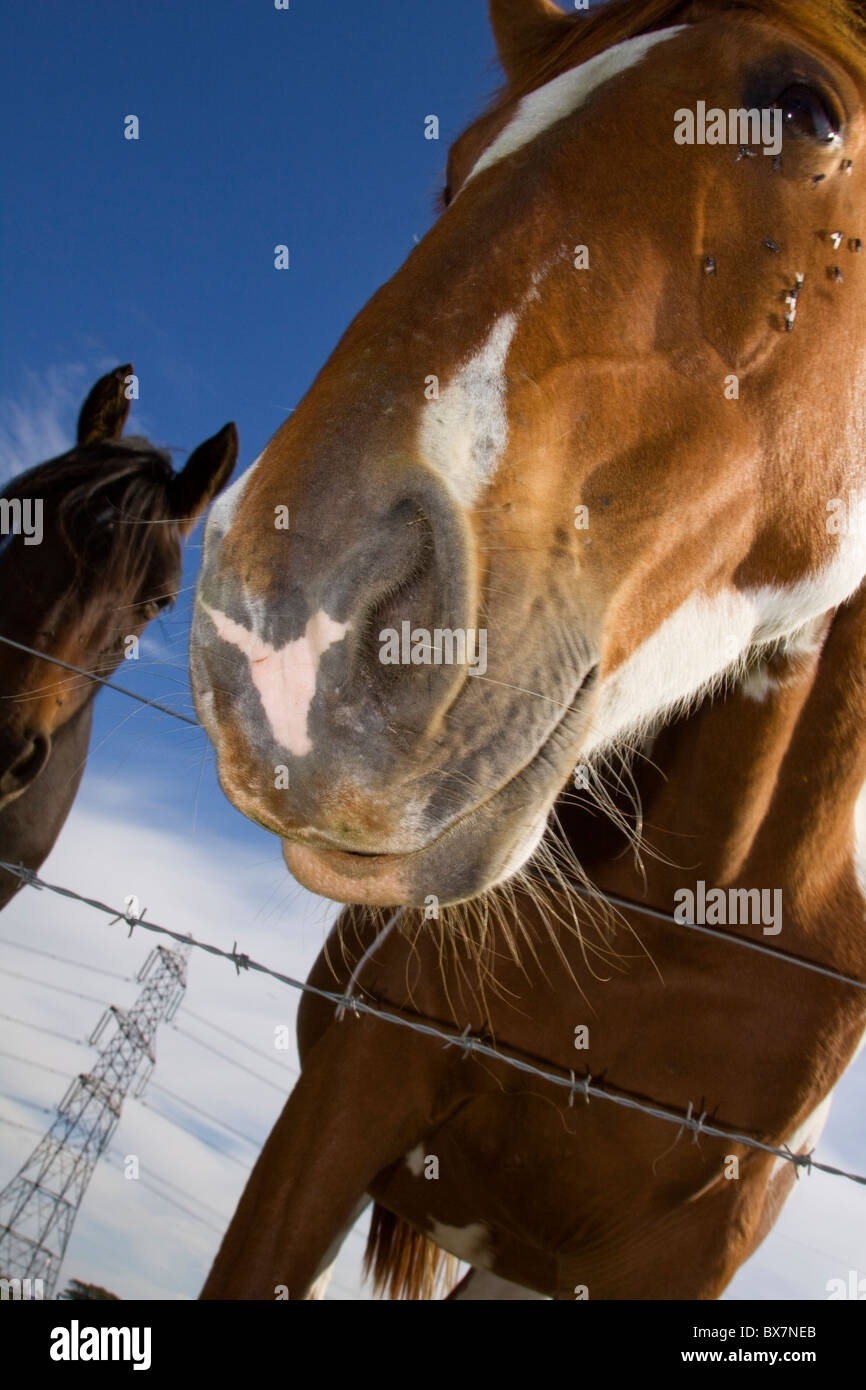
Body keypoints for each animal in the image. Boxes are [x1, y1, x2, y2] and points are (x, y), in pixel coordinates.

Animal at [191, 0, 866, 1299]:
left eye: (803, 108)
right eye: (452, 170)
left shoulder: (681, 1257)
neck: (690, 926)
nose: (291, 620)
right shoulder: (355, 1083)